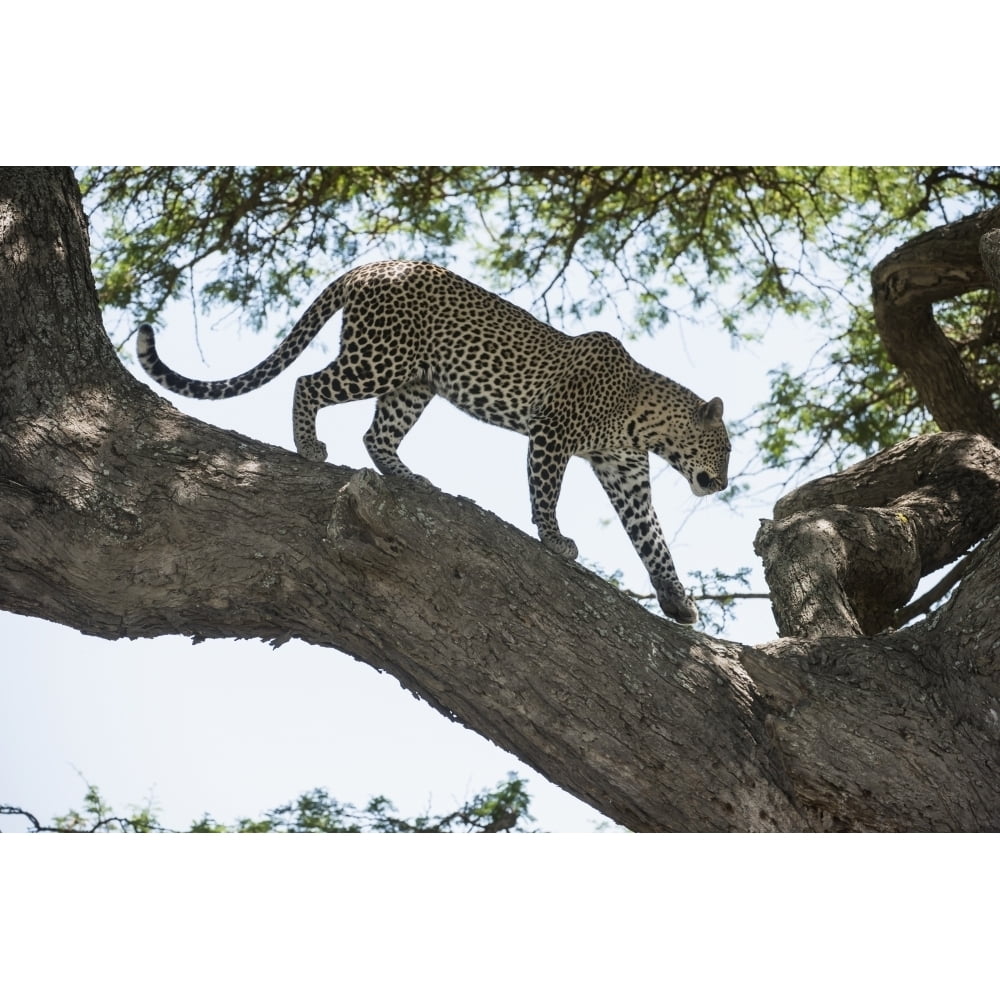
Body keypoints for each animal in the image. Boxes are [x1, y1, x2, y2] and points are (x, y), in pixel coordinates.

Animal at [138, 259, 730, 624]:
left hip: (415, 382)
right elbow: (546, 493)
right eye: (724, 450)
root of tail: (372, 264)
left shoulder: (624, 471)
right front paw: (554, 540)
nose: (723, 485)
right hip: (379, 359)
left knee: (376, 433)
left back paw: (410, 479)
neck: (643, 420)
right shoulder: (552, 433)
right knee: (307, 383)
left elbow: (652, 539)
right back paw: (309, 447)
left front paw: (678, 604)